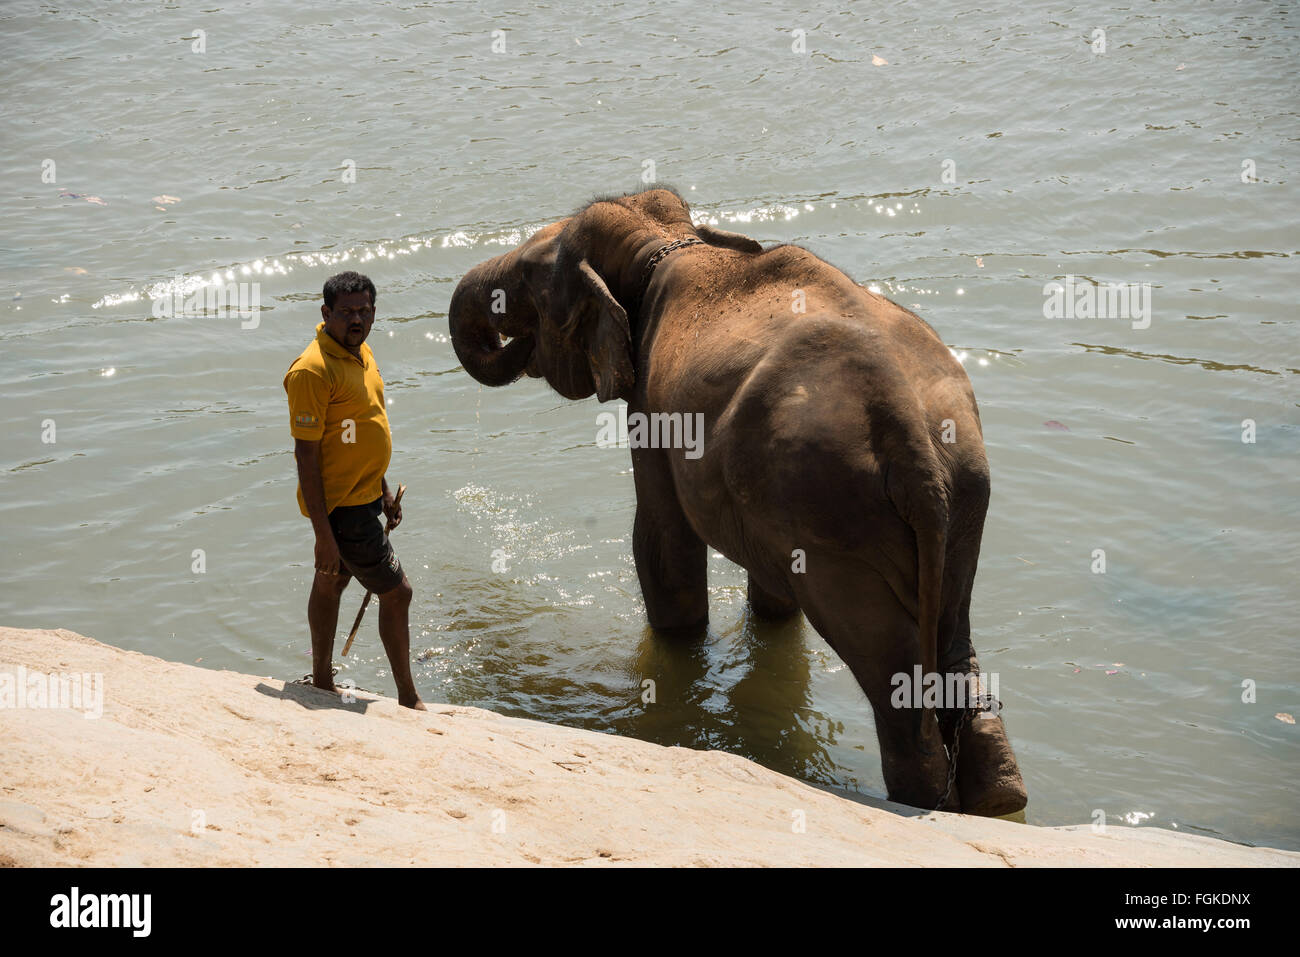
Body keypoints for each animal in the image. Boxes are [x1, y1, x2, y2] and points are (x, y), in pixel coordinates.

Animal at [447, 187, 1028, 816]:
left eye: (527, 278)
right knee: (954, 641)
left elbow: (659, 537)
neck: (667, 240)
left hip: (837, 520)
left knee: (891, 674)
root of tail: (912, 439)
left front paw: (677, 654)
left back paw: (920, 799)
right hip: (960, 499)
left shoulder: (652, 404)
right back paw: (999, 799)